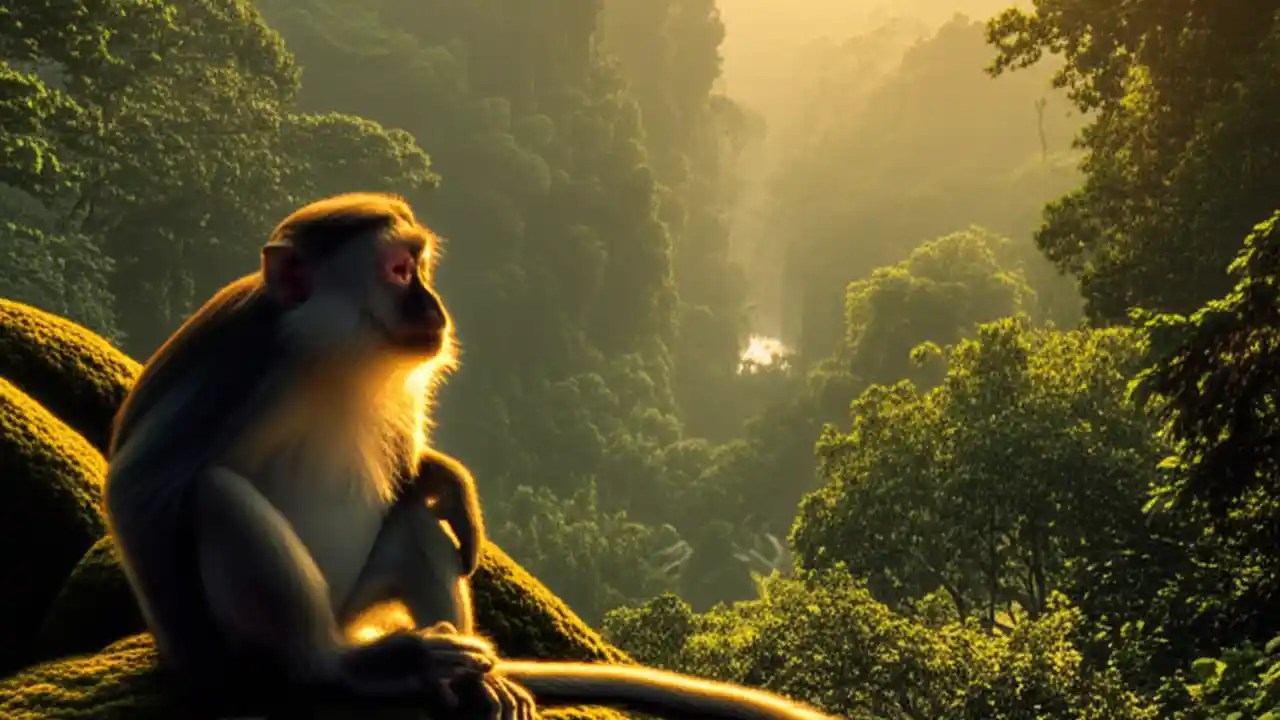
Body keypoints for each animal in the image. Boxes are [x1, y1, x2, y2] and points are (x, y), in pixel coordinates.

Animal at [103, 192, 533, 717]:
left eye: (420, 267)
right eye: (399, 271)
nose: (436, 309)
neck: (337, 355)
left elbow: (405, 471)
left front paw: (446, 481)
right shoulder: (243, 364)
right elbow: (137, 485)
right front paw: (205, 670)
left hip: (349, 605)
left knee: (413, 520)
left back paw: (473, 683)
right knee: (217, 494)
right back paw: (336, 668)